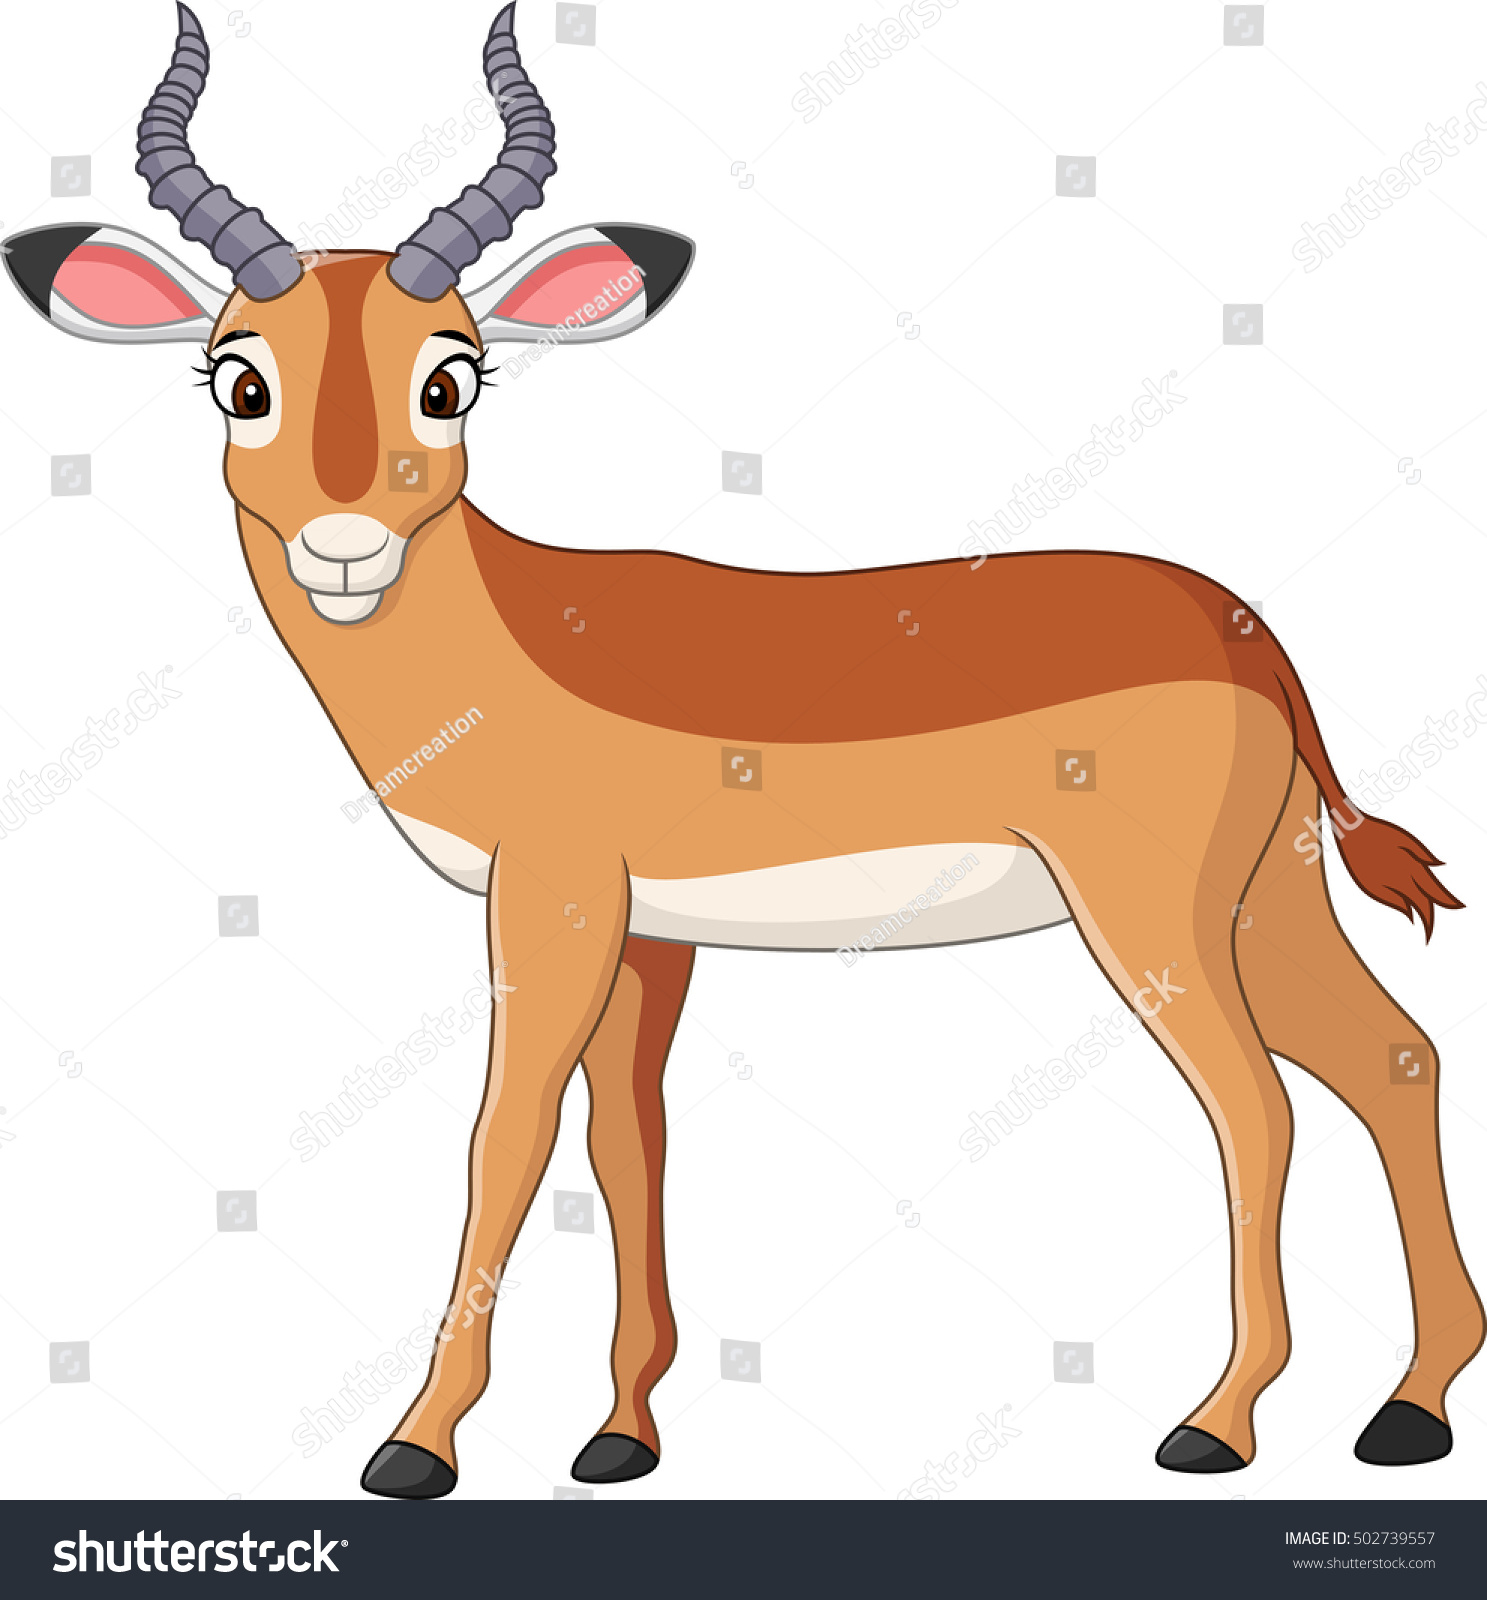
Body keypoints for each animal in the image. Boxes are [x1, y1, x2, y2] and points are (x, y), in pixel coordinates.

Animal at [7, 2, 1481, 1497]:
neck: (508, 643)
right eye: (239, 377)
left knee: (1258, 1106)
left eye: (452, 375)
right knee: (1394, 1059)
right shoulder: (646, 937)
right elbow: (625, 1142)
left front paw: (414, 1444)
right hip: (1260, 900)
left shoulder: (550, 902)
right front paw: (617, 1434)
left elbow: (506, 1136)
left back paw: (1213, 1422)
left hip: (1153, 920)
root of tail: (1244, 633)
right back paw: (1407, 1411)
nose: (344, 542)